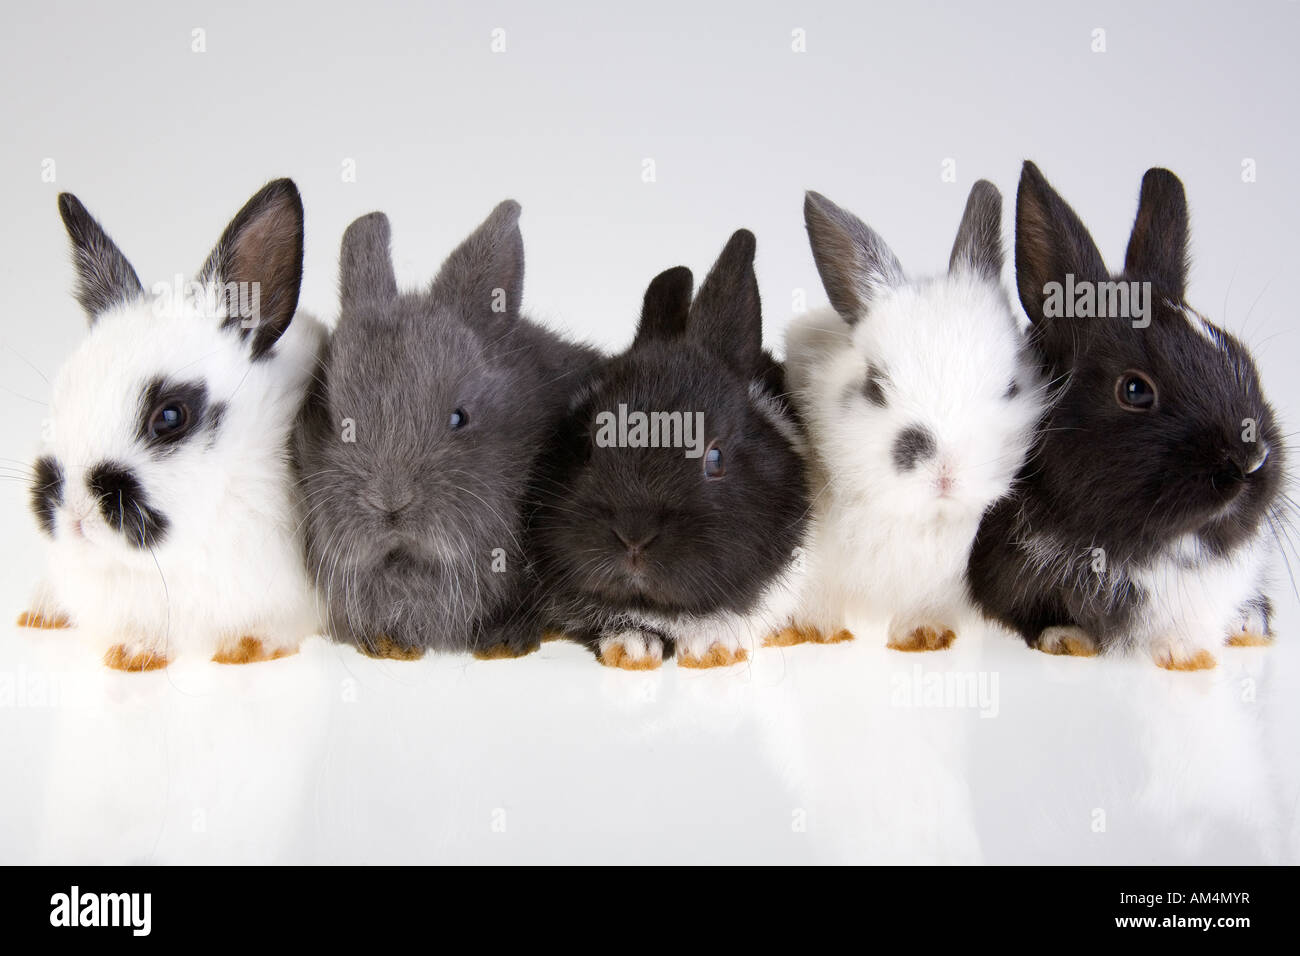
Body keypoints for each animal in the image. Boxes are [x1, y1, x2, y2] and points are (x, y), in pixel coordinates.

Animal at [779, 182, 1045, 653]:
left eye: (1011, 387)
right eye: (874, 386)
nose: (946, 473)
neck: (916, 518)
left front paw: (924, 637)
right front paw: (813, 632)